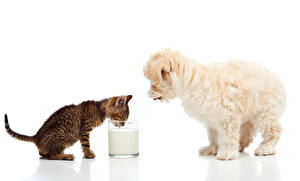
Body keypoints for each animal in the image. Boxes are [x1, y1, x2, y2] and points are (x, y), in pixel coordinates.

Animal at [4, 94, 132, 160]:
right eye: (122, 118)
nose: (123, 124)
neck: (99, 109)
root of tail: (36, 137)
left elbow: (85, 145)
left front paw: (88, 152)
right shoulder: (84, 130)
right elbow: (86, 144)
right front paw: (88, 154)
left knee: (42, 153)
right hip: (64, 136)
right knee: (50, 155)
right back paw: (66, 156)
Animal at [144, 48, 288, 160]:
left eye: (153, 83)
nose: (147, 94)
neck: (191, 81)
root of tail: (276, 78)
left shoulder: (228, 116)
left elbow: (228, 136)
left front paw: (227, 153)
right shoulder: (211, 118)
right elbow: (213, 136)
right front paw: (212, 149)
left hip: (265, 112)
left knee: (273, 130)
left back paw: (265, 148)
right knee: (248, 129)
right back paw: (241, 144)